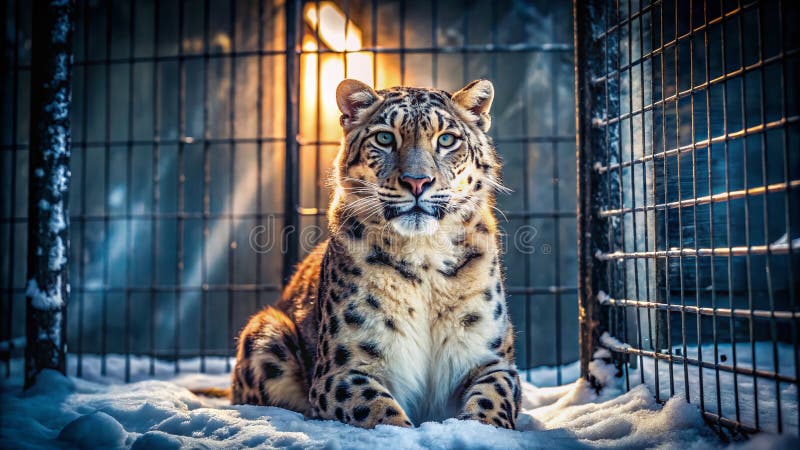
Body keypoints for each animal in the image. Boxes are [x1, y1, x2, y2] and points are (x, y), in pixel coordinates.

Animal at [230, 78, 521, 430]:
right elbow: (378, 412)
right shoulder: (343, 370)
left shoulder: (492, 359)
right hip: (264, 328)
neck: (426, 259)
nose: (417, 181)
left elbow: (492, 405)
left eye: (447, 139)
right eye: (384, 138)